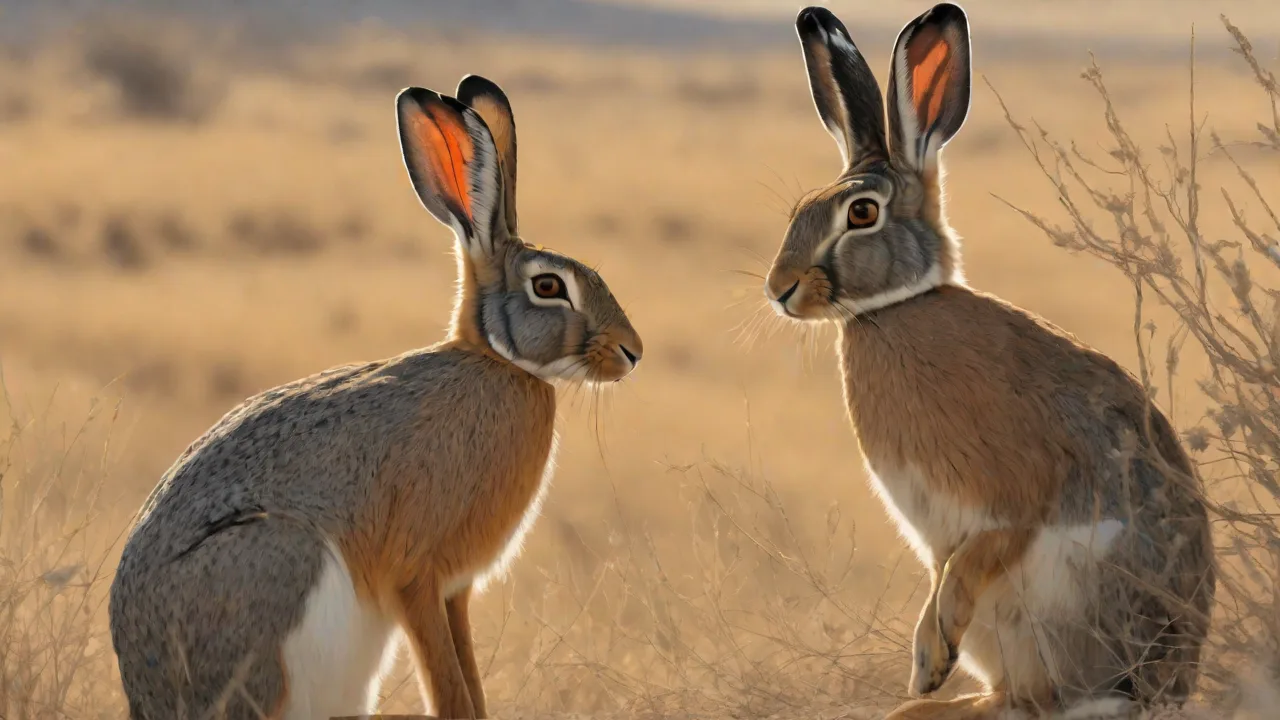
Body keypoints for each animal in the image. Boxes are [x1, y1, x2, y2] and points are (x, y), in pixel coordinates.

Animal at [108, 75, 642, 720]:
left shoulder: (455, 592)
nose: (632, 351)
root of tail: (148, 694)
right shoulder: (417, 574)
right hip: (279, 570)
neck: (497, 364)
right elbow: (449, 687)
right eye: (548, 286)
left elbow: (468, 678)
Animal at [764, 4, 1215, 718]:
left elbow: (980, 552)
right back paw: (923, 705)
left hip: (1061, 599)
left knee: (1041, 699)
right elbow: (945, 571)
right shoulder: (941, 539)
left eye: (861, 213)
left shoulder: (1017, 490)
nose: (779, 288)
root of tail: (1168, 686)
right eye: (800, 209)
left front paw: (928, 657)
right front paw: (926, 662)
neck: (896, 308)